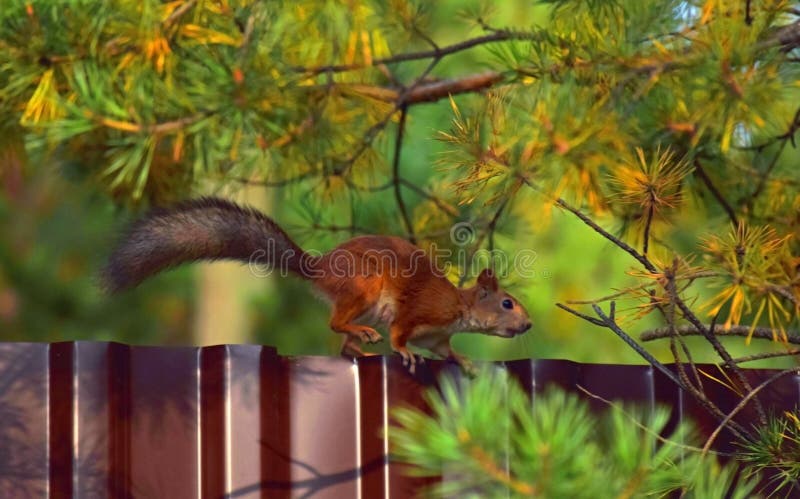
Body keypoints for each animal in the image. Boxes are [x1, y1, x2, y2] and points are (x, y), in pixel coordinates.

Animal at [103, 197, 532, 373]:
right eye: (507, 303)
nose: (528, 325)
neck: (459, 309)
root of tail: (320, 269)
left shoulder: (438, 337)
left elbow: (446, 350)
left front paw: (463, 360)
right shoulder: (416, 313)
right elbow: (400, 333)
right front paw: (404, 352)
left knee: (342, 344)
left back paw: (360, 347)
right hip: (365, 286)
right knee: (335, 323)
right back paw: (363, 337)